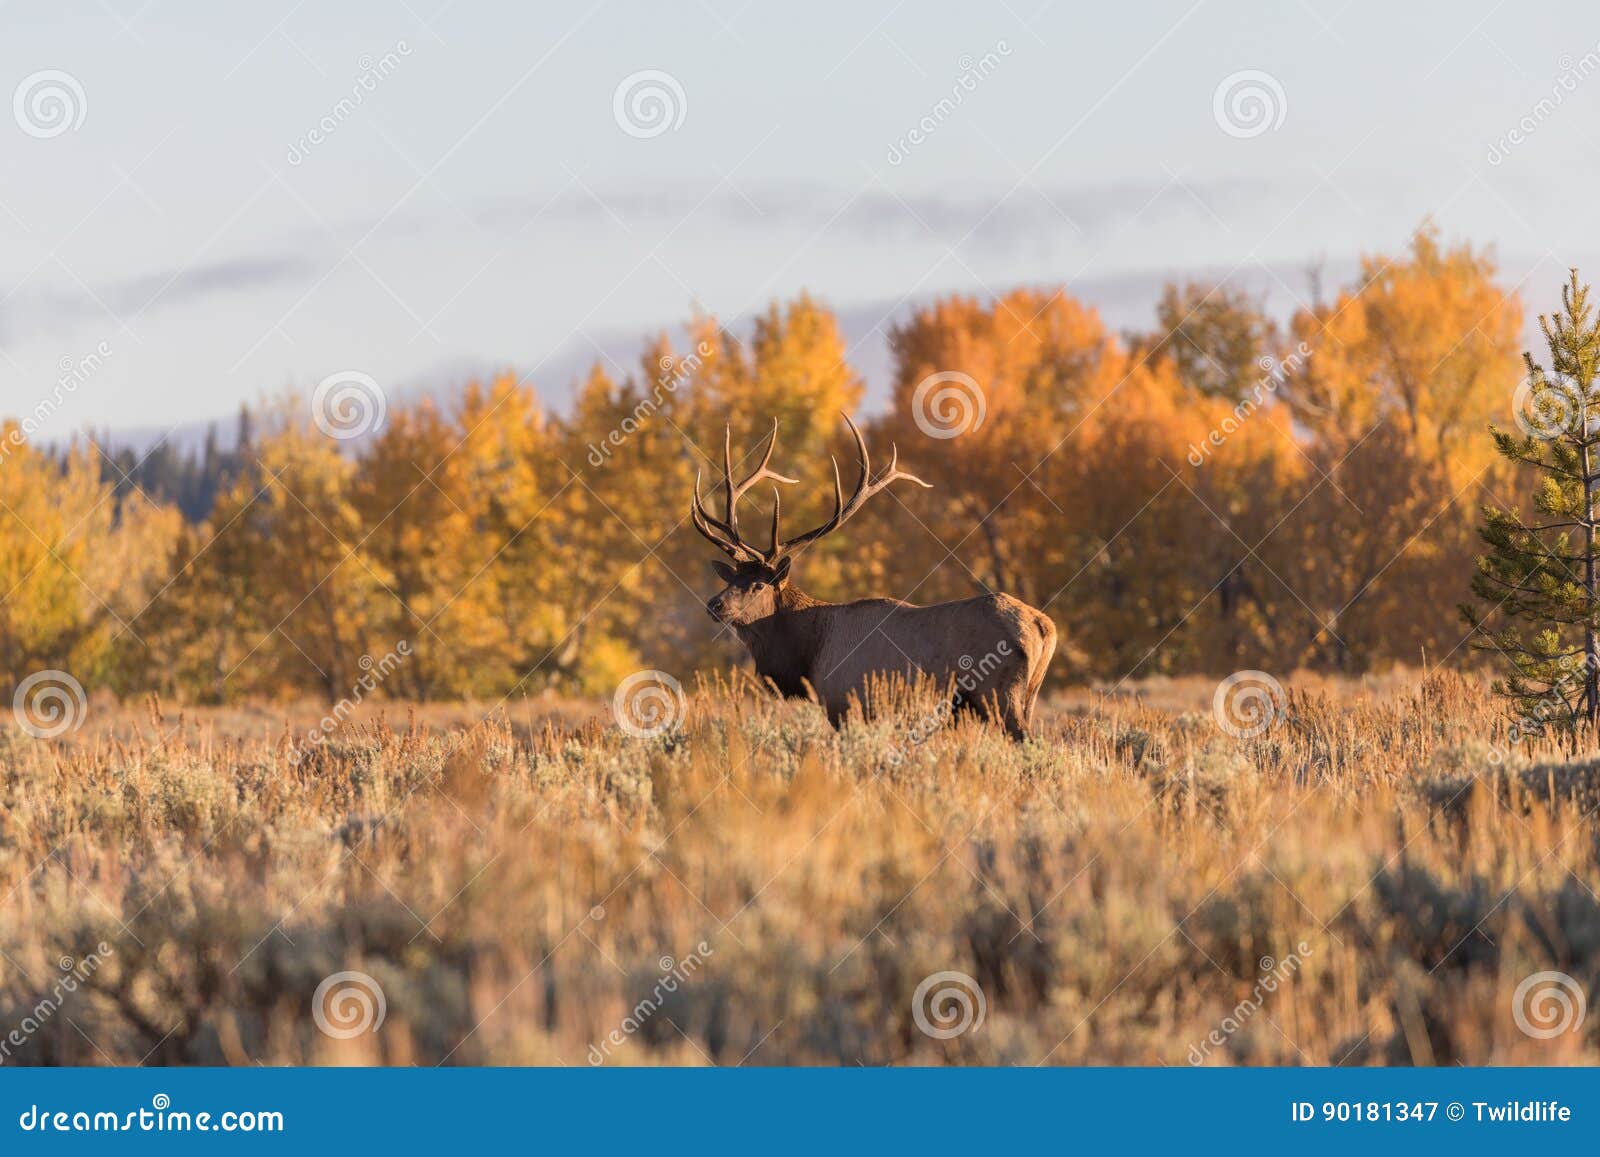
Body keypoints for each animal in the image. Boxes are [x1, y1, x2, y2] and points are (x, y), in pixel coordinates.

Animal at [692, 415, 1056, 739]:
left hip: (1000, 694)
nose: (713, 605)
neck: (809, 654)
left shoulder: (846, 705)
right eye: (731, 580)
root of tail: (1043, 625)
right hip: (1030, 695)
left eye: (757, 585)